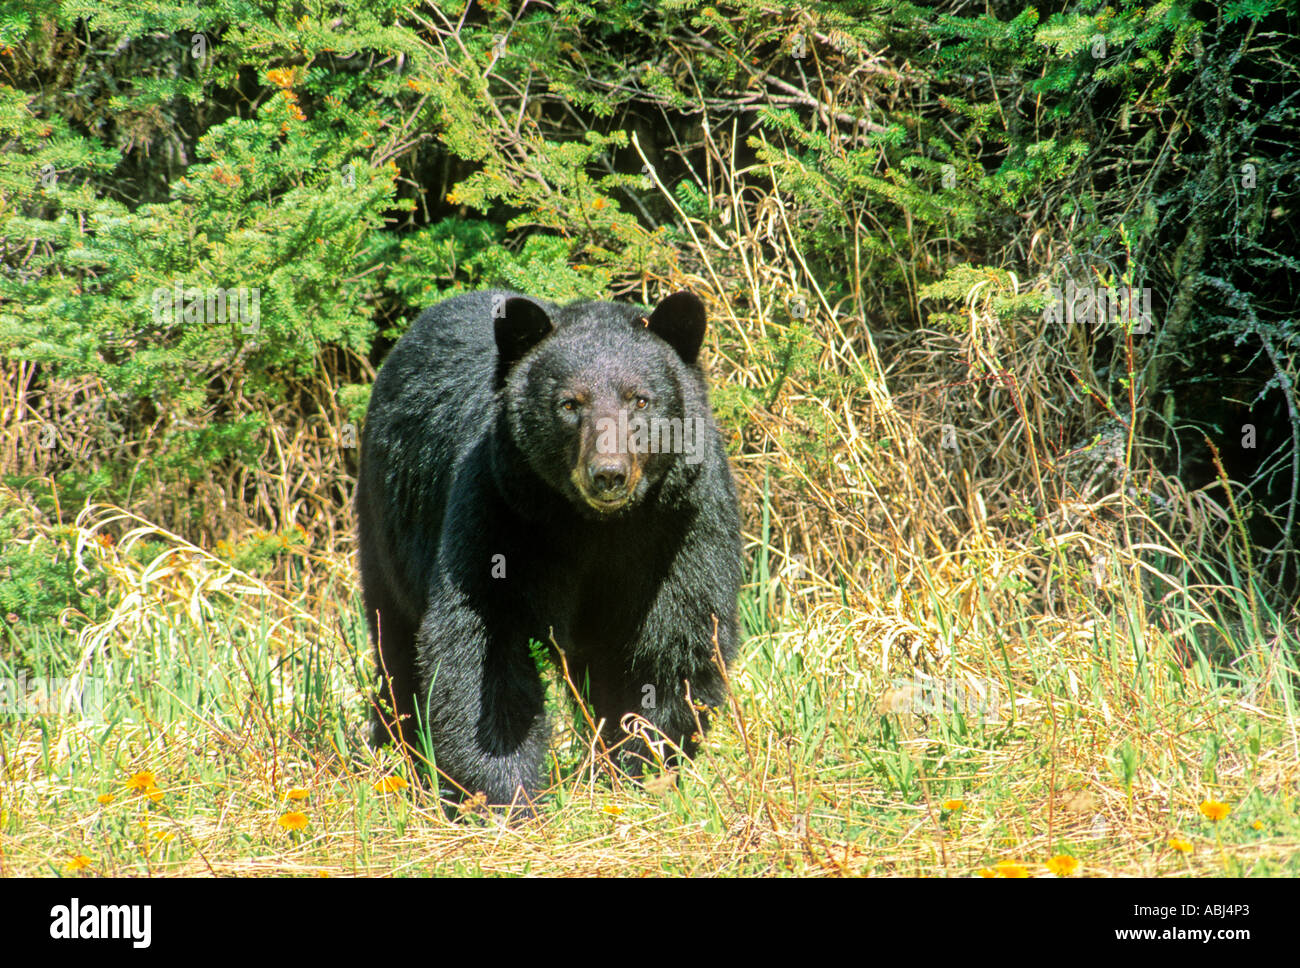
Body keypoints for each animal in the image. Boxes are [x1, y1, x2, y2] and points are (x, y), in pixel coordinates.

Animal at [356, 288, 742, 813]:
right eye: (569, 403)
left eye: (640, 399)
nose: (608, 474)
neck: (594, 526)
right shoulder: (499, 510)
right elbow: (481, 644)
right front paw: (501, 793)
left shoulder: (681, 525)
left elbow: (674, 636)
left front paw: (645, 765)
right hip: (385, 522)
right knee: (394, 642)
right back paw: (399, 750)